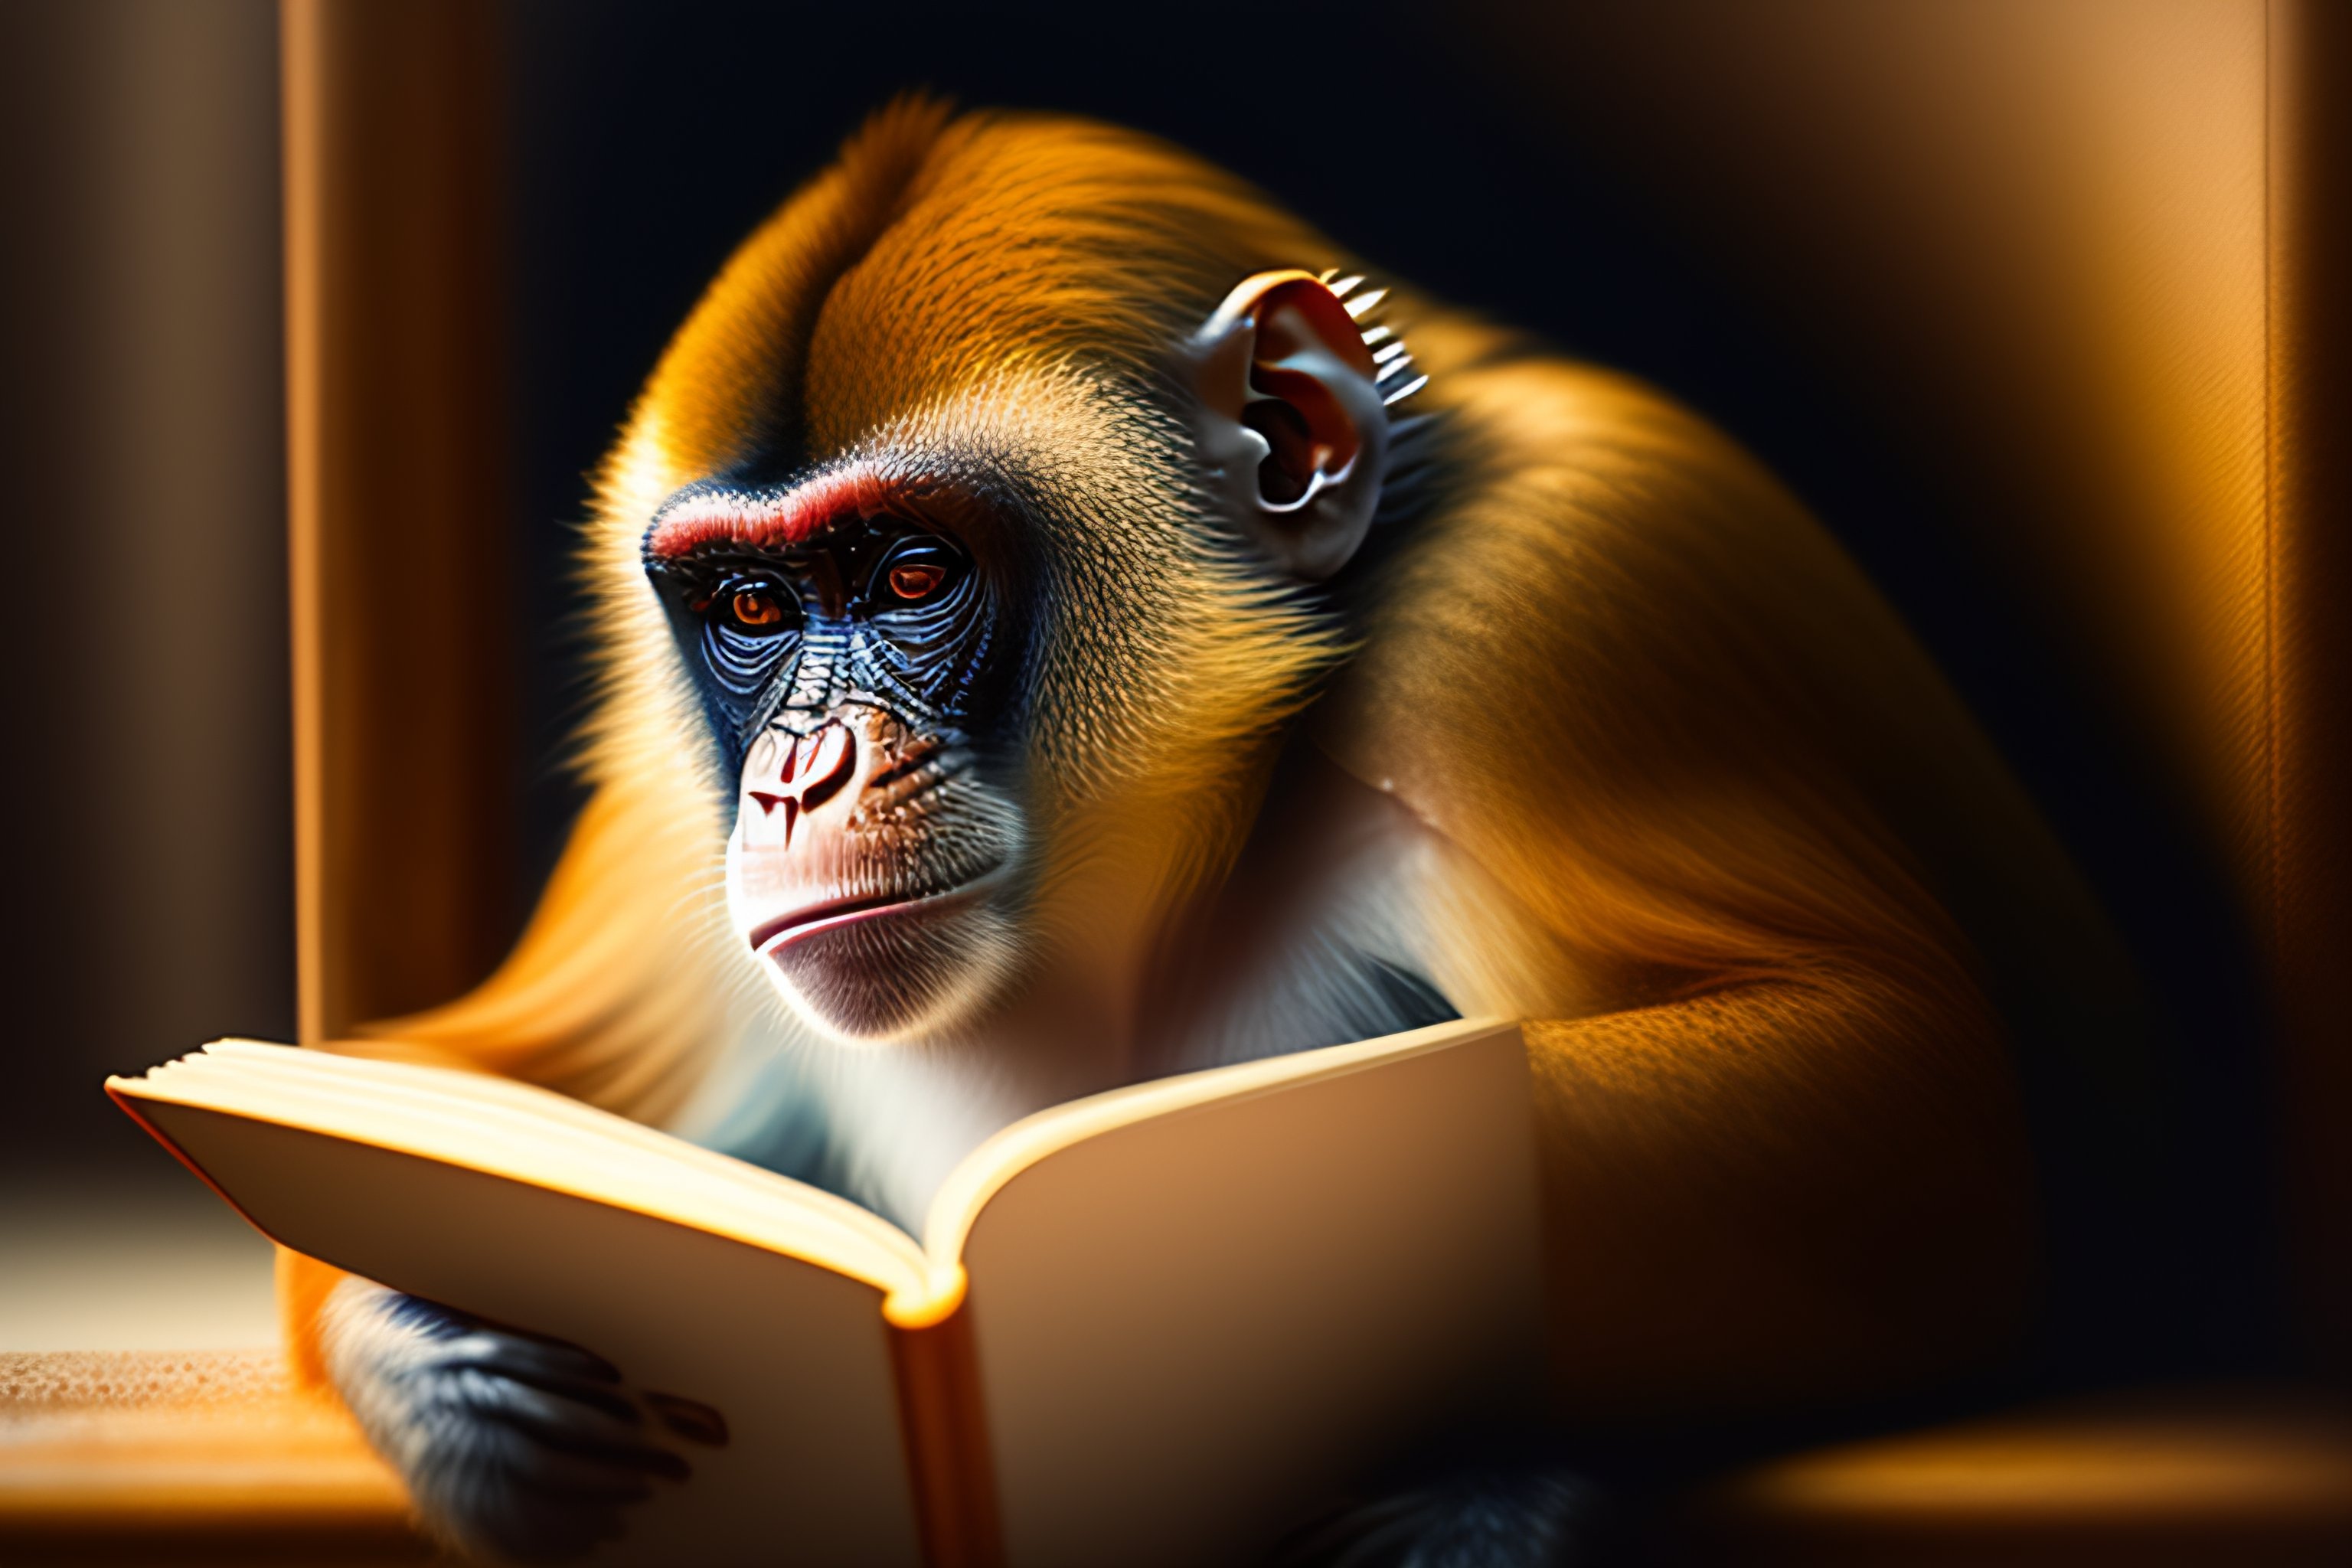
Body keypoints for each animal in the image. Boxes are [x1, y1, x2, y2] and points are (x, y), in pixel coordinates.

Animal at [277, 99, 2141, 1564]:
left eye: (909, 572)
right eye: (749, 604)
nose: (798, 775)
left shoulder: (1570, 590)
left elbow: (1895, 1091)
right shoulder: (672, 825)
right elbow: (462, 1073)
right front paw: (434, 1353)